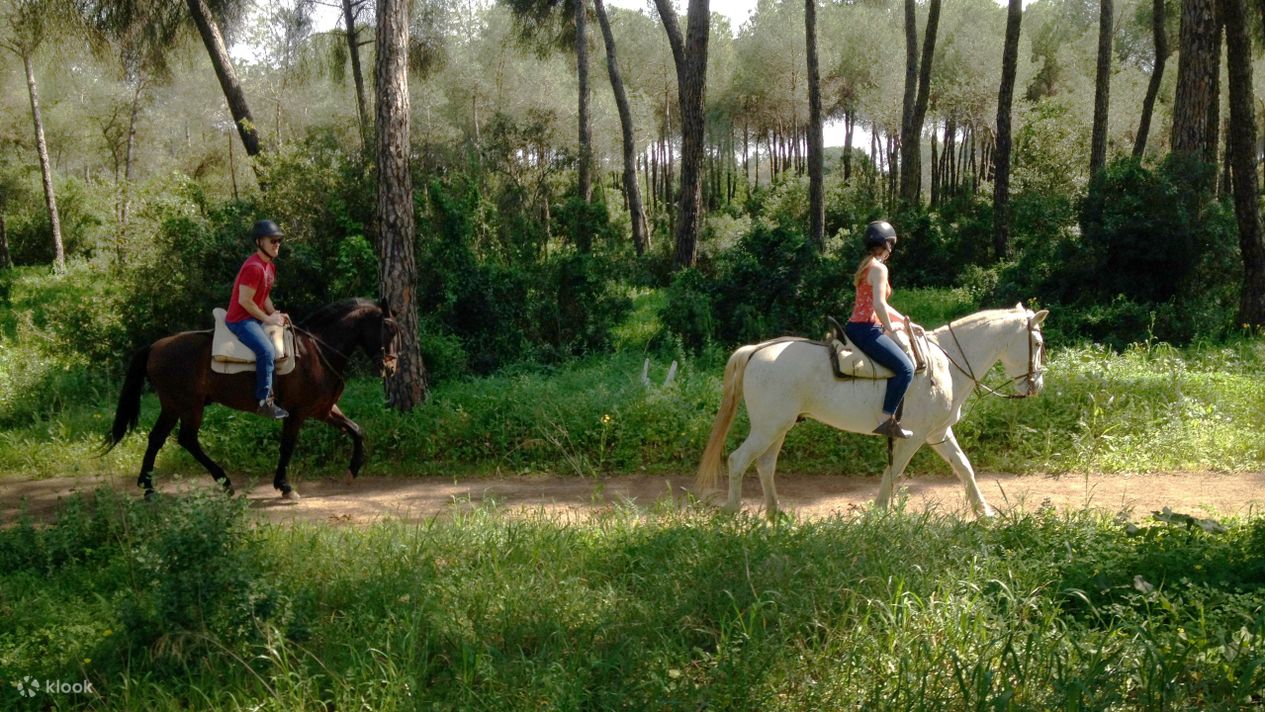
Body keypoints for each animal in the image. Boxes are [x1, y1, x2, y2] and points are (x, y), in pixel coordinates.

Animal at [103, 298, 401, 499]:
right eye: (388, 329)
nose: (391, 368)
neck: (316, 351)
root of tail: (155, 346)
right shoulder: (297, 412)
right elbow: (287, 446)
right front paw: (285, 486)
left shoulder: (323, 409)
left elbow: (356, 430)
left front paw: (353, 469)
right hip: (187, 405)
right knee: (185, 439)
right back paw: (222, 481)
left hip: (174, 405)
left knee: (159, 438)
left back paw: (149, 487)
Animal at [696, 304, 1048, 518]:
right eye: (1039, 342)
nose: (1036, 386)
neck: (946, 363)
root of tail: (756, 350)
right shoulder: (915, 436)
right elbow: (894, 473)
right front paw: (878, 512)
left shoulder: (938, 433)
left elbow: (964, 468)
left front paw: (983, 511)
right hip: (768, 427)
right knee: (738, 460)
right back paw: (732, 510)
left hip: (778, 427)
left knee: (765, 465)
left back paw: (775, 512)